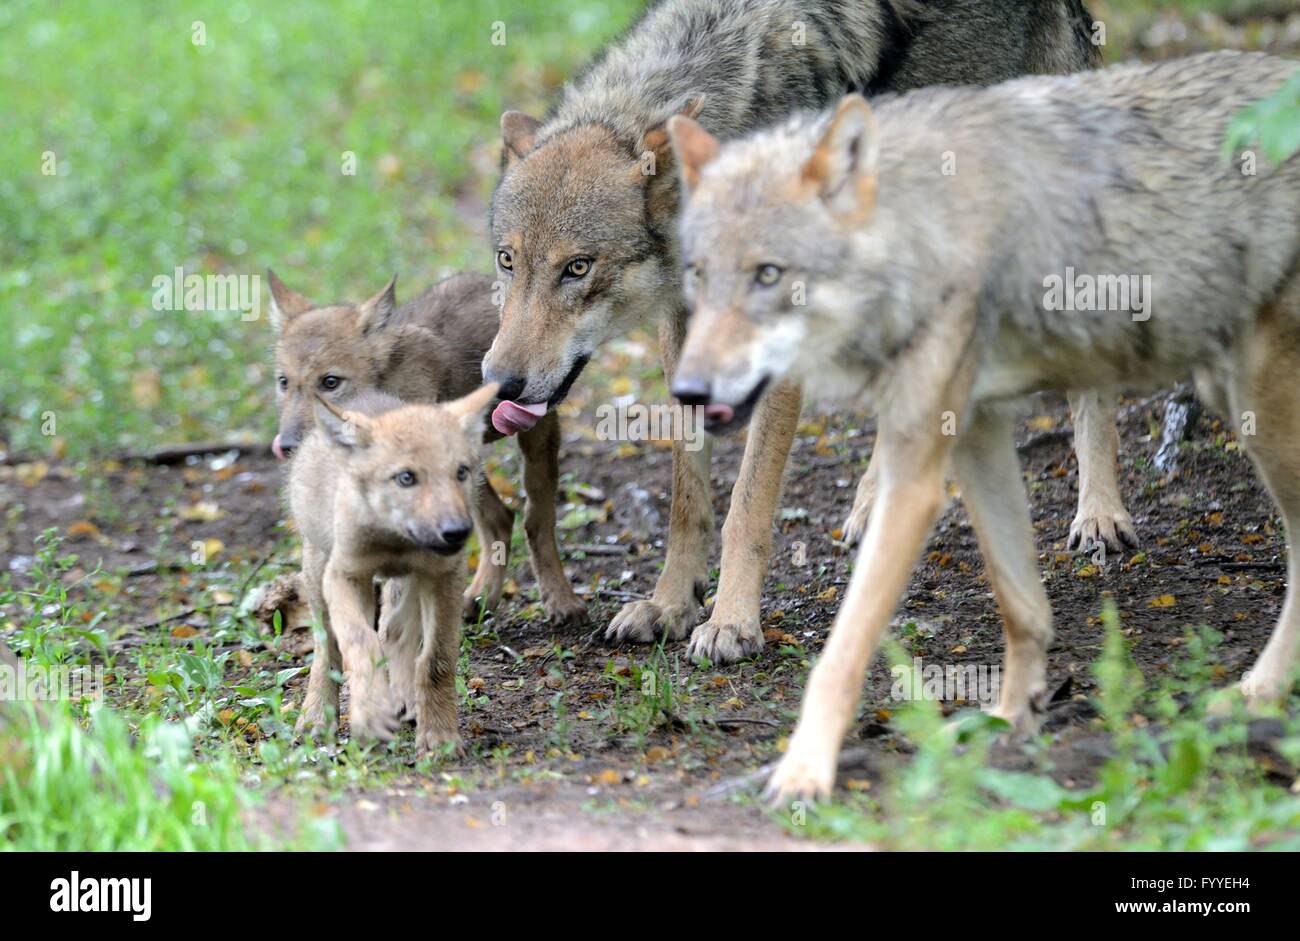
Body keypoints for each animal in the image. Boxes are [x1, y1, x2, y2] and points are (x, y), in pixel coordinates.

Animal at [267, 270, 585, 626]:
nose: (287, 446)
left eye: (330, 382)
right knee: (501, 518)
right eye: (283, 382)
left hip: (534, 442)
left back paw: (561, 601)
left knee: (536, 519)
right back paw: (480, 598)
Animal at [290, 383, 498, 748]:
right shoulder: (344, 575)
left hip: (413, 581)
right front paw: (370, 713)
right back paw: (316, 716)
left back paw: (406, 699)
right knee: (328, 648)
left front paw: (440, 736)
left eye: (461, 473)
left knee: (395, 629)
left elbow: (435, 660)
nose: (457, 531)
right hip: (318, 571)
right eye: (406, 478)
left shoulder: (445, 575)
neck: (395, 540)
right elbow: (360, 642)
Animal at [485, 0, 1113, 664]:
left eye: (578, 268)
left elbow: (746, 504)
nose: (498, 383)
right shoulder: (684, 331)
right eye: (507, 260)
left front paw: (732, 621)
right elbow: (687, 497)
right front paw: (670, 605)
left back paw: (1101, 516)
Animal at [666, 50, 1300, 801]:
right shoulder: (978, 431)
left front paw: (802, 772)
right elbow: (1020, 605)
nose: (688, 392)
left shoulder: (917, 482)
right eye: (698, 275)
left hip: (1261, 412)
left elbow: (843, 649)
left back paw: (1257, 694)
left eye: (768, 274)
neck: (918, 229)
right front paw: (1007, 723)